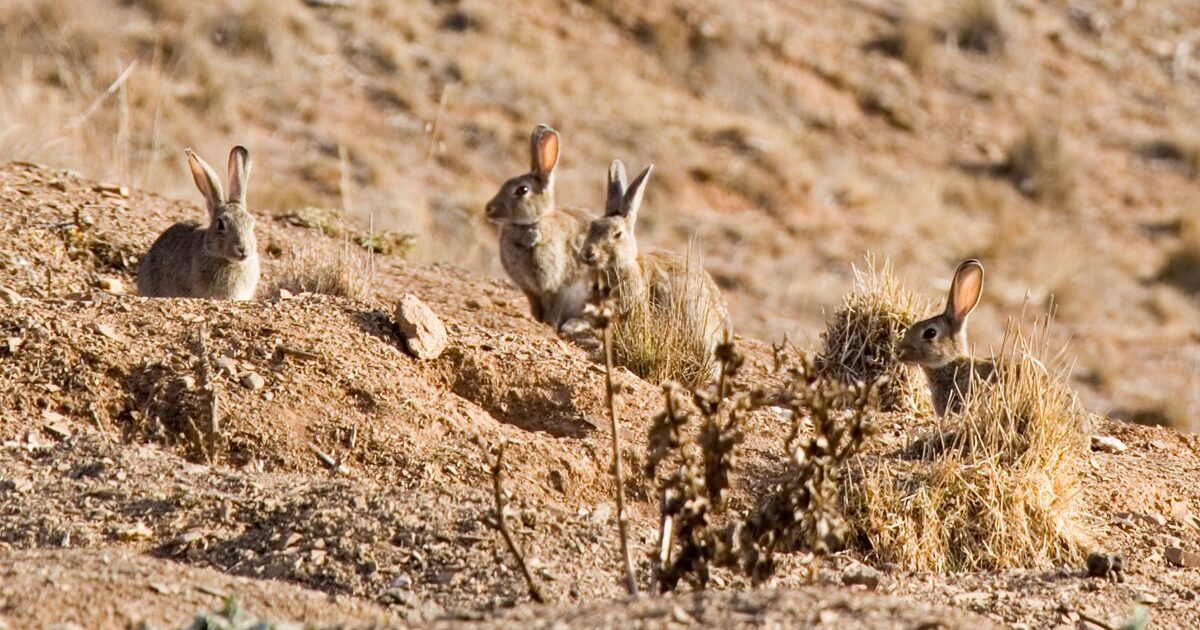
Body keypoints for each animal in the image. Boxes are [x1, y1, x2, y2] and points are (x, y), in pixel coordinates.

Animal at [485, 124, 593, 330]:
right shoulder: (529, 289)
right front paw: (536, 320)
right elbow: (535, 306)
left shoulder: (558, 286)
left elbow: (554, 308)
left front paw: (549, 325)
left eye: (522, 190)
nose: (488, 209)